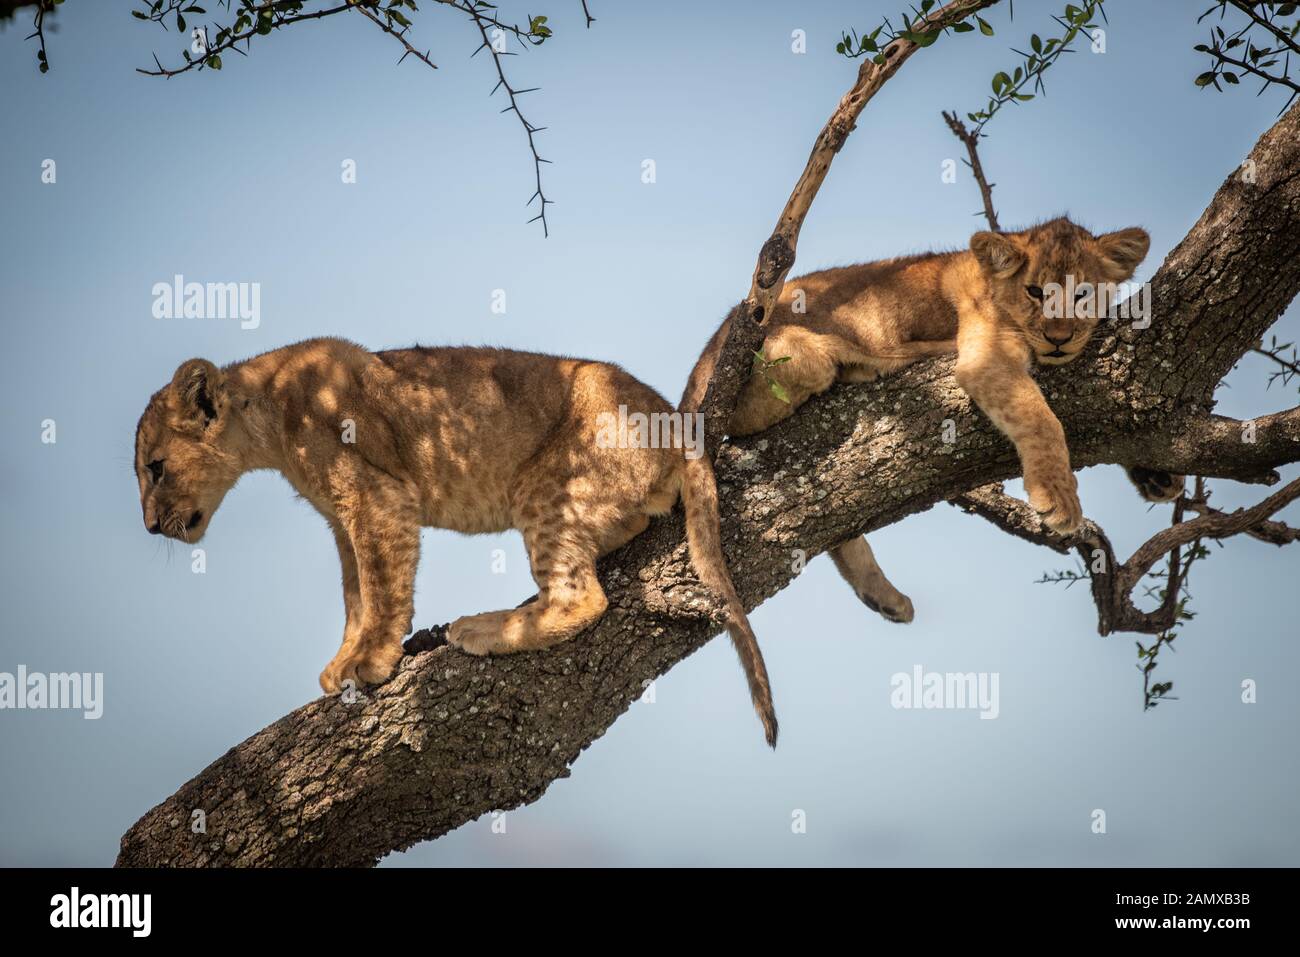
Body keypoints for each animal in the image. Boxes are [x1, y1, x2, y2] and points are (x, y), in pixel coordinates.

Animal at [134, 337, 779, 746]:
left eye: (156, 468)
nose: (148, 526)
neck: (266, 415)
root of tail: (678, 425)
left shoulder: (376, 499)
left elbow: (380, 588)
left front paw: (370, 661)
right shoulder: (341, 520)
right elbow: (354, 595)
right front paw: (343, 660)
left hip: (544, 487)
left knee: (582, 598)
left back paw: (482, 629)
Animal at [681, 217, 1180, 622]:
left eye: (1082, 294)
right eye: (1036, 292)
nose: (1058, 338)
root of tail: (700, 368)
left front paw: (1157, 475)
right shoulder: (985, 358)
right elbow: (1040, 417)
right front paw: (1057, 498)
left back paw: (885, 600)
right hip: (800, 357)